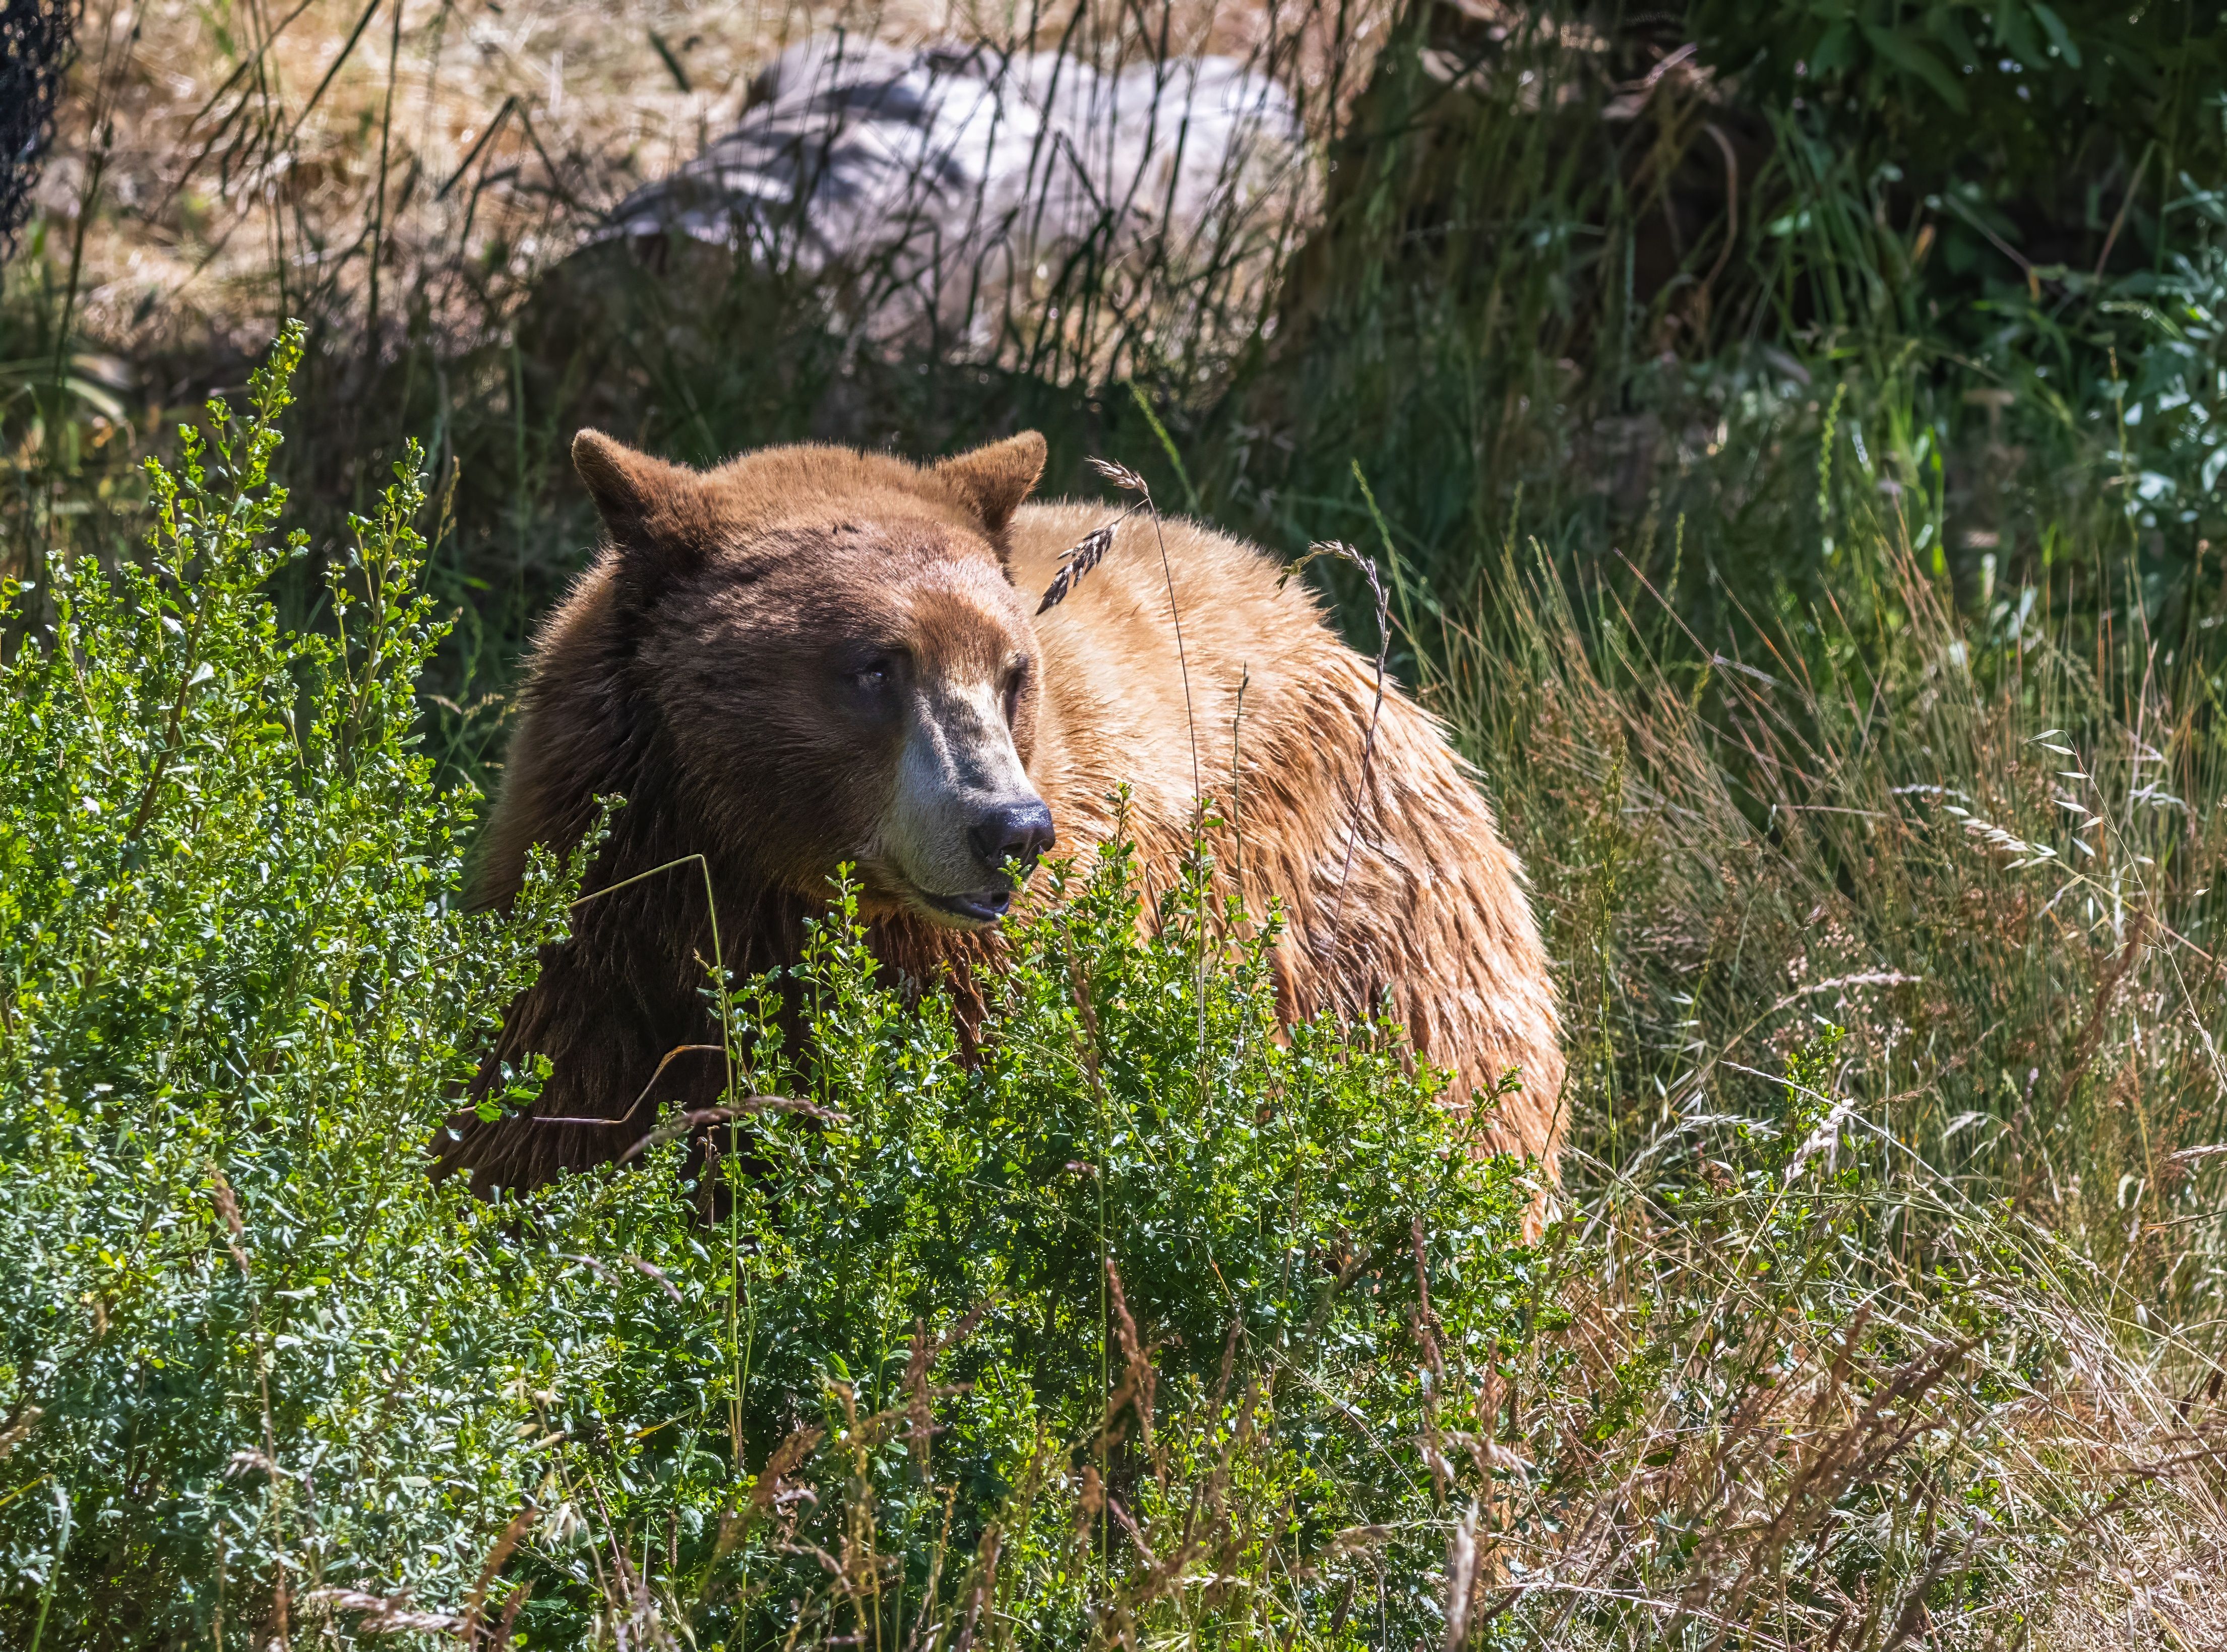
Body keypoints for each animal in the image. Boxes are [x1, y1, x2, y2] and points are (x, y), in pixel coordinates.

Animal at [437, 429, 1564, 1200]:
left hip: (1369, 938)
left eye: (1013, 670)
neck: (755, 885)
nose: (1011, 830)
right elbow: (537, 1129)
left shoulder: (991, 977)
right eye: (874, 666)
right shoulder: (606, 938)